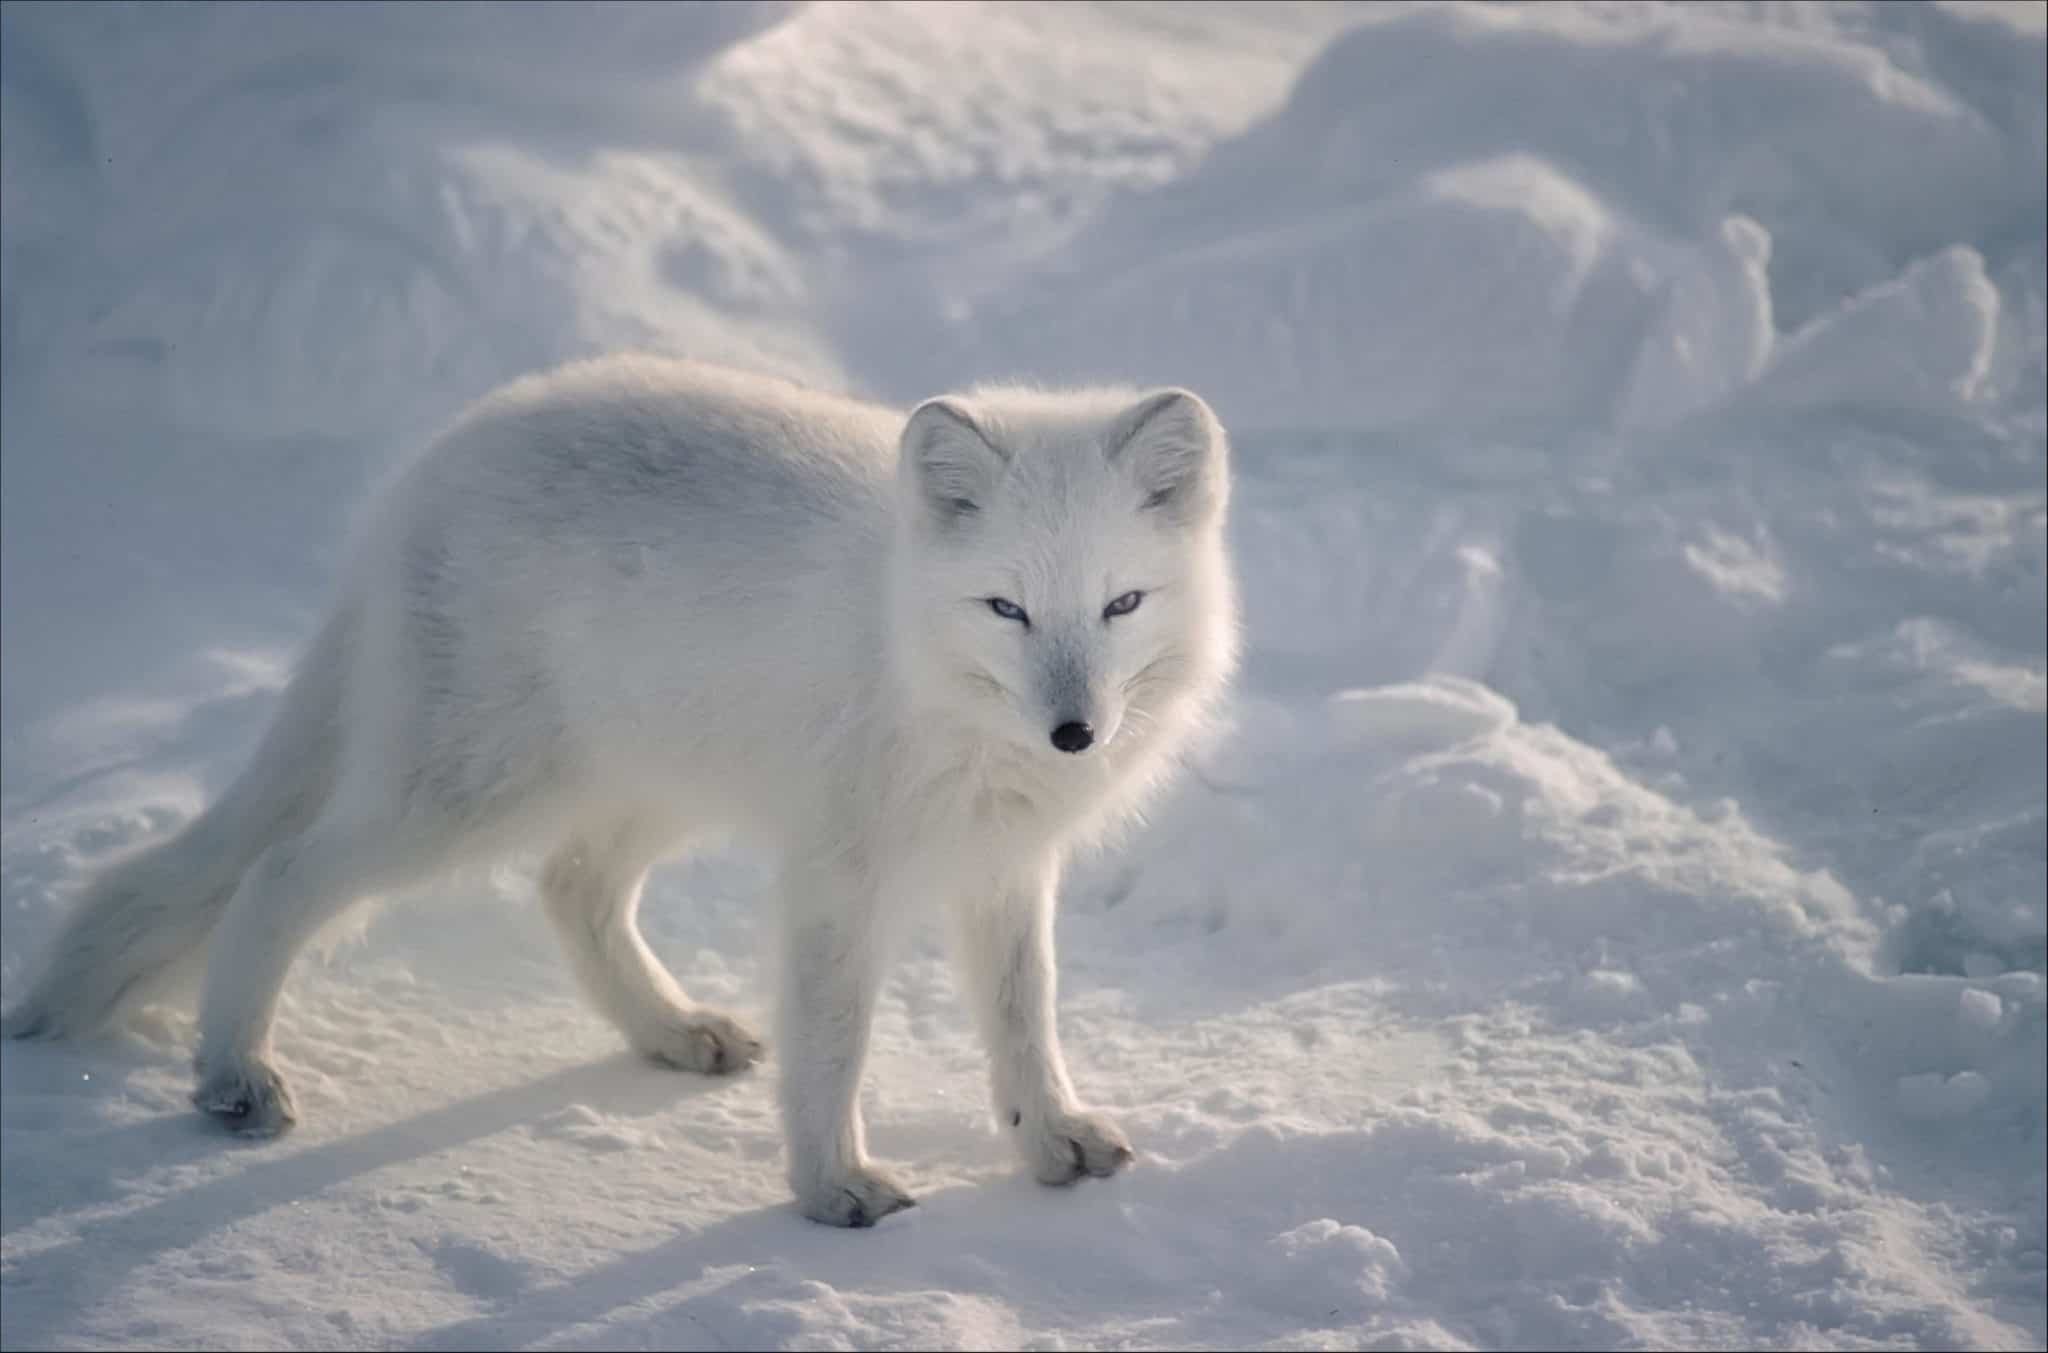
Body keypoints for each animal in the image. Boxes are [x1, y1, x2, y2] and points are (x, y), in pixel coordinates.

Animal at [1, 355, 1240, 1226]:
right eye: (1006, 609)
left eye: (1121, 604)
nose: (1074, 735)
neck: (917, 663)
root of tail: (425, 470)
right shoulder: (838, 876)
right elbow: (833, 1044)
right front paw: (830, 1186)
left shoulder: (1002, 867)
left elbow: (1026, 1020)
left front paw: (1049, 1142)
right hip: (464, 793)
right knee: (278, 871)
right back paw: (232, 1073)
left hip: (643, 782)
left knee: (570, 889)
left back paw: (672, 1030)